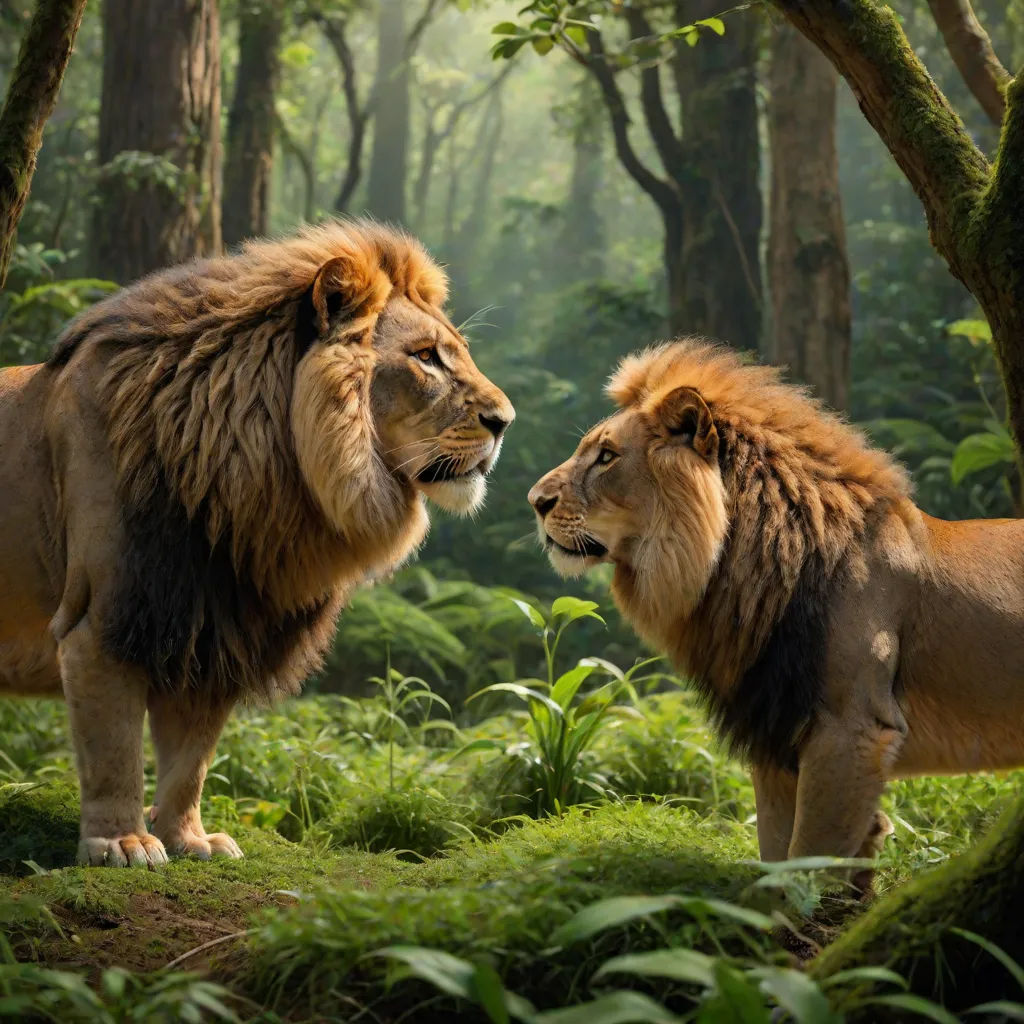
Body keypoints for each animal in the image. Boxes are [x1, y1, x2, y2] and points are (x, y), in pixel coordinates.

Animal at [0, 220, 513, 868]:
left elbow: (191, 760)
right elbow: (113, 750)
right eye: (425, 358)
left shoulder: (216, 626)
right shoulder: (107, 618)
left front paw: (189, 838)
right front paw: (122, 841)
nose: (506, 421)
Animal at [529, 338, 1024, 880]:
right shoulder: (777, 737)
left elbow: (809, 869)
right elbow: (780, 865)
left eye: (607, 457)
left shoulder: (851, 730)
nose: (534, 500)